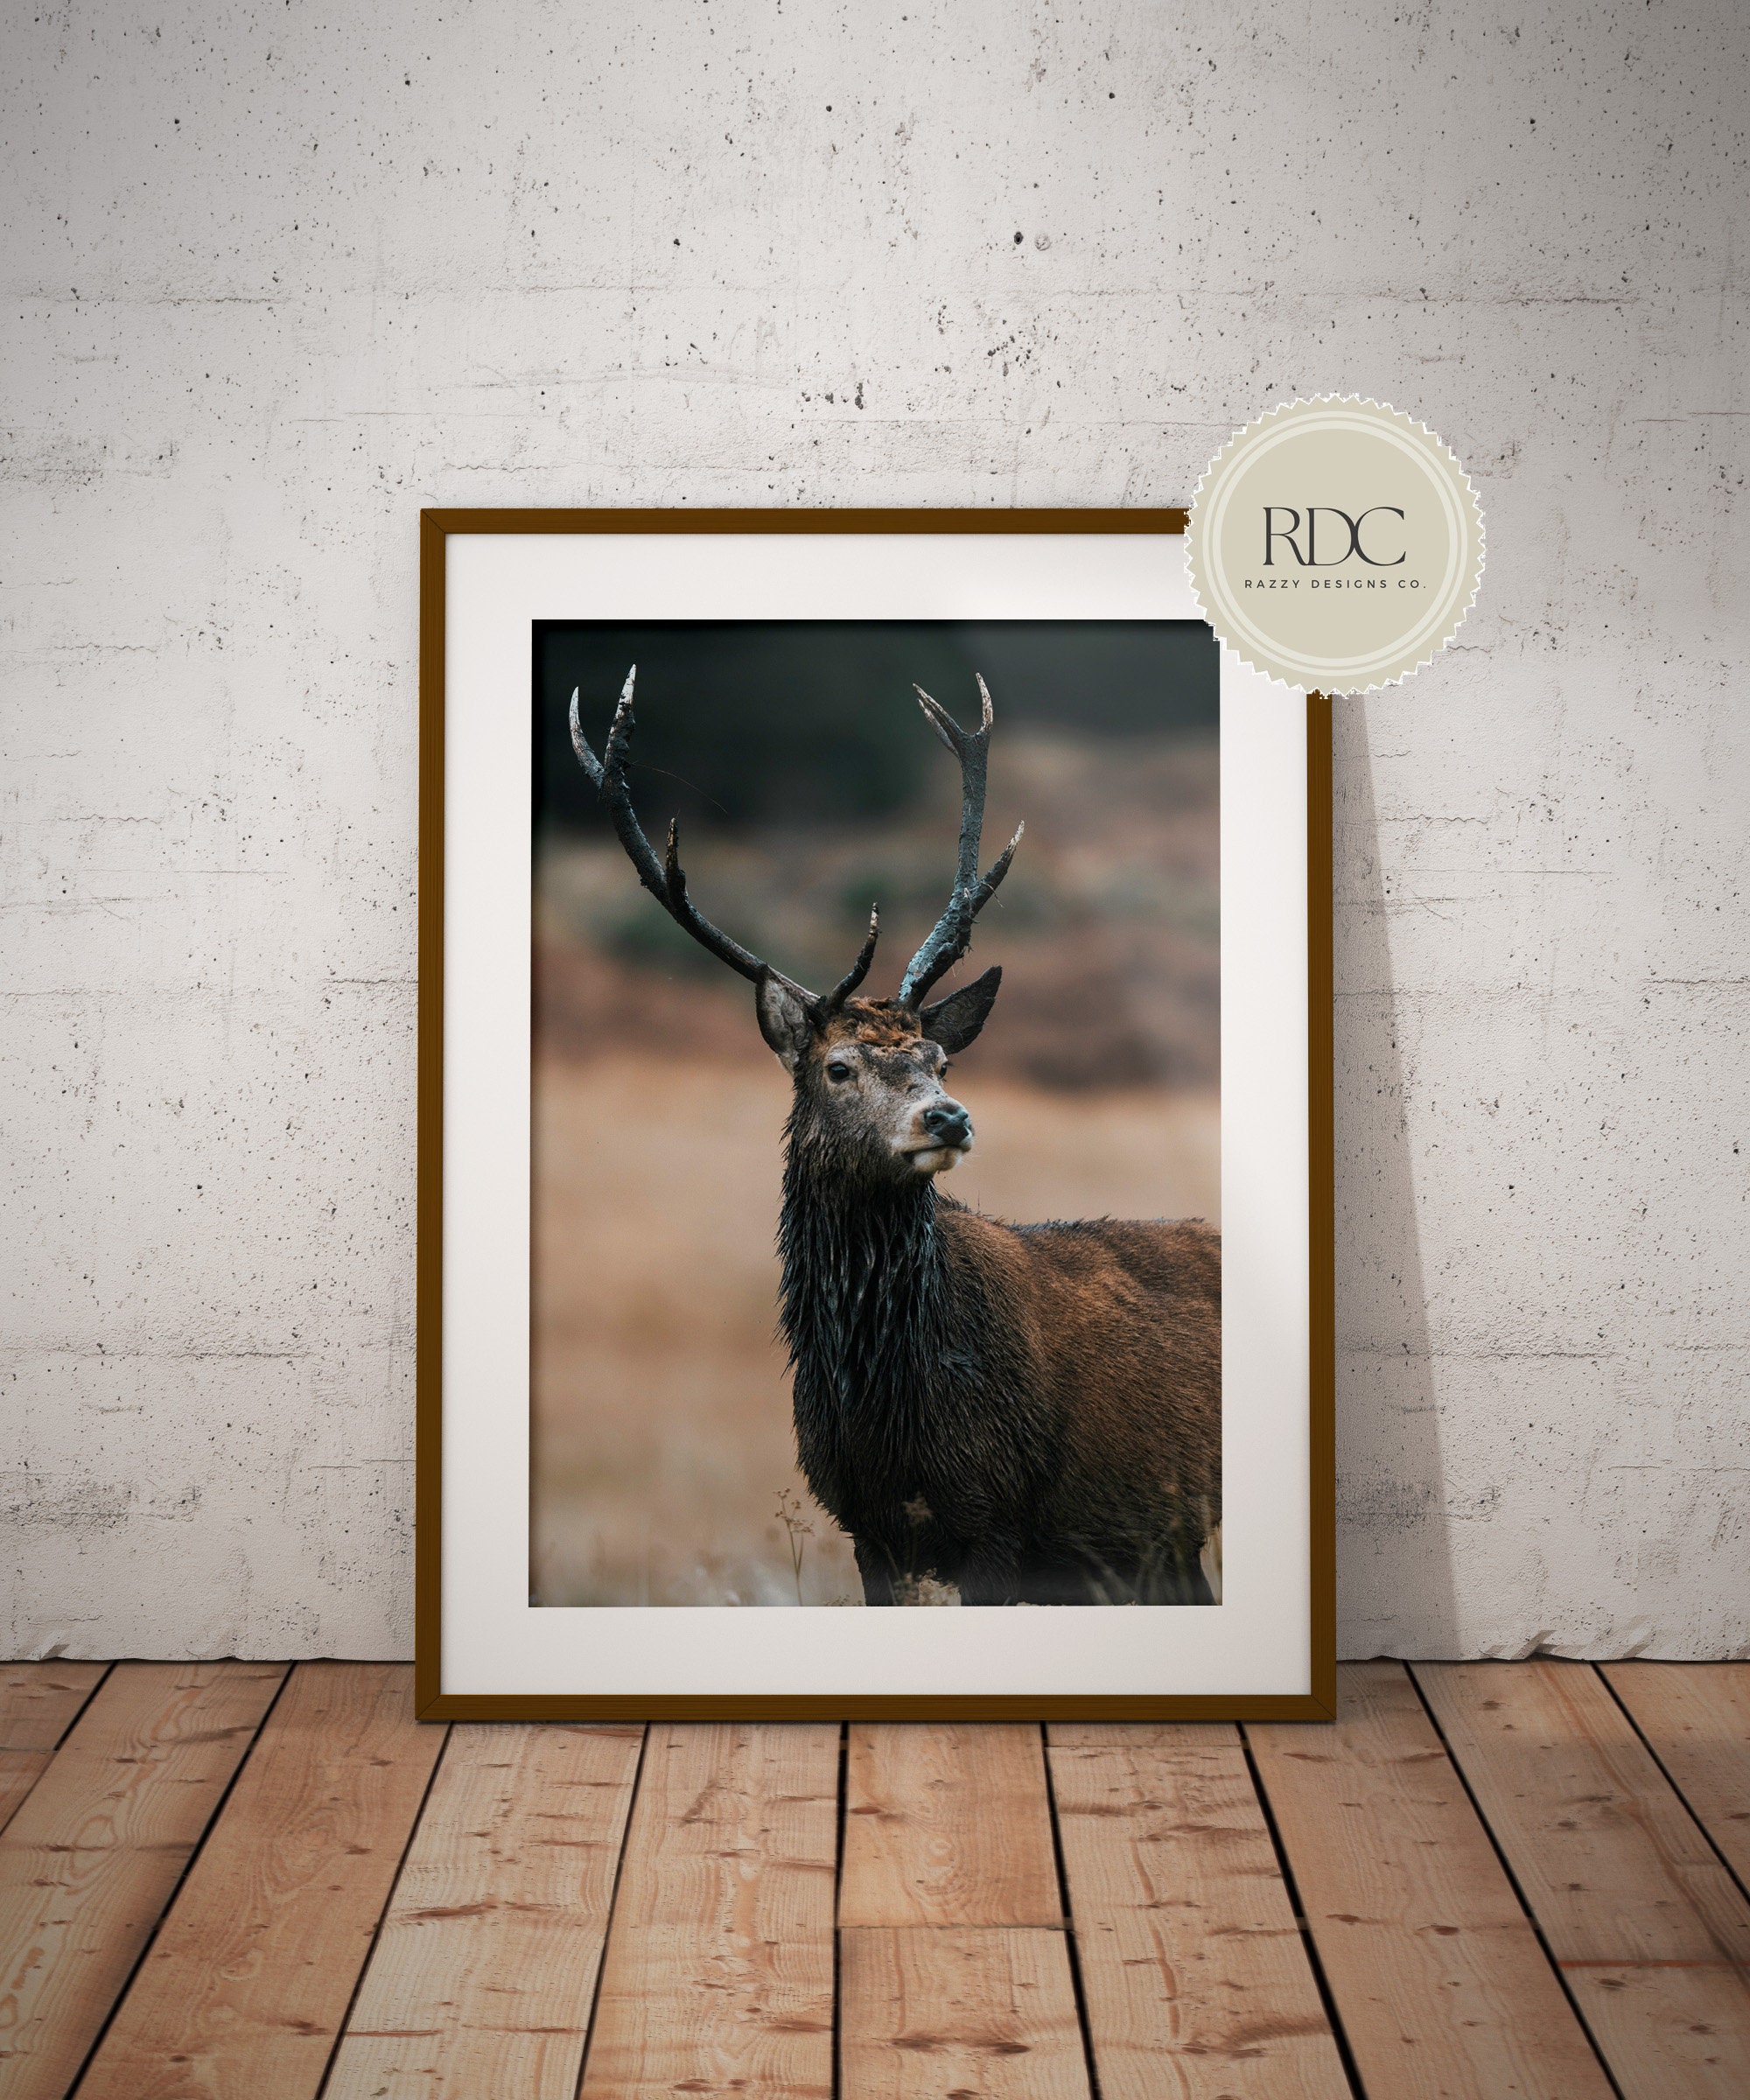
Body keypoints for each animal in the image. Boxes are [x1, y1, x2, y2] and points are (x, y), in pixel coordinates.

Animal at [569, 667, 1221, 1606]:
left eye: (938, 1058)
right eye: (838, 1067)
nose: (947, 1116)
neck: (886, 1408)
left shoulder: (996, 1514)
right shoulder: (864, 1523)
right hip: (1156, 1541)